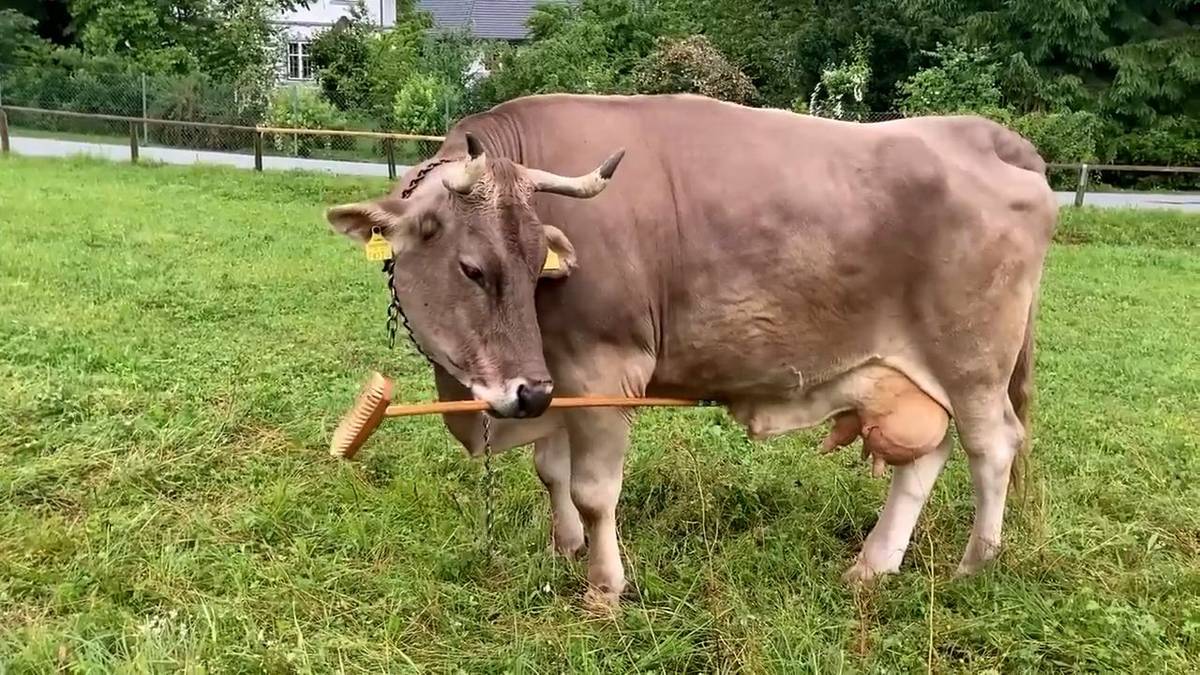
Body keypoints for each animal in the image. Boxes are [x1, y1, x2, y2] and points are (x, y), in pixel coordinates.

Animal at [325, 93, 1057, 610]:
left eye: (537, 266)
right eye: (474, 269)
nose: (523, 394)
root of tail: (984, 134)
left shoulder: (604, 365)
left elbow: (594, 491)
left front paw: (604, 588)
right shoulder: (557, 374)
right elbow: (550, 470)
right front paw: (564, 548)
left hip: (973, 365)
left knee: (993, 446)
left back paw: (975, 563)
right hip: (918, 375)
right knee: (927, 456)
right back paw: (873, 565)